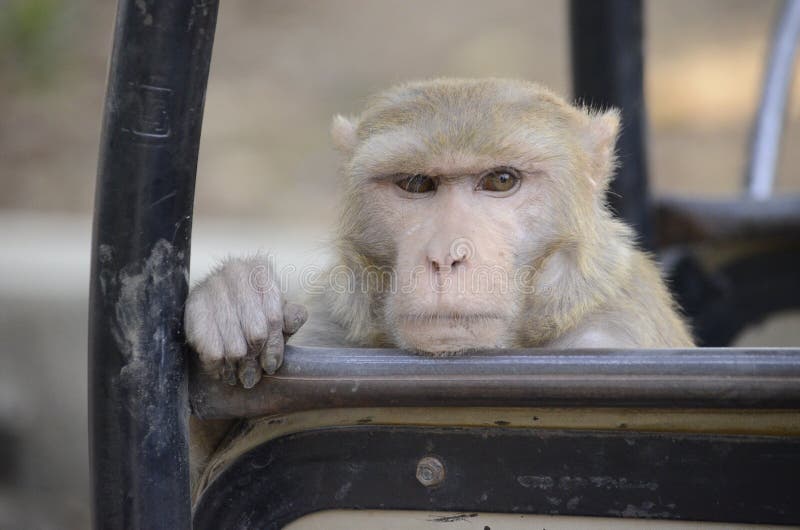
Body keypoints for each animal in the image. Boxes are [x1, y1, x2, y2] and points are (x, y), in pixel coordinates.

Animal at [184, 77, 694, 481]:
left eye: (501, 180)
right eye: (416, 184)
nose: (445, 256)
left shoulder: (612, 340)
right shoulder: (334, 327)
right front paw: (233, 297)